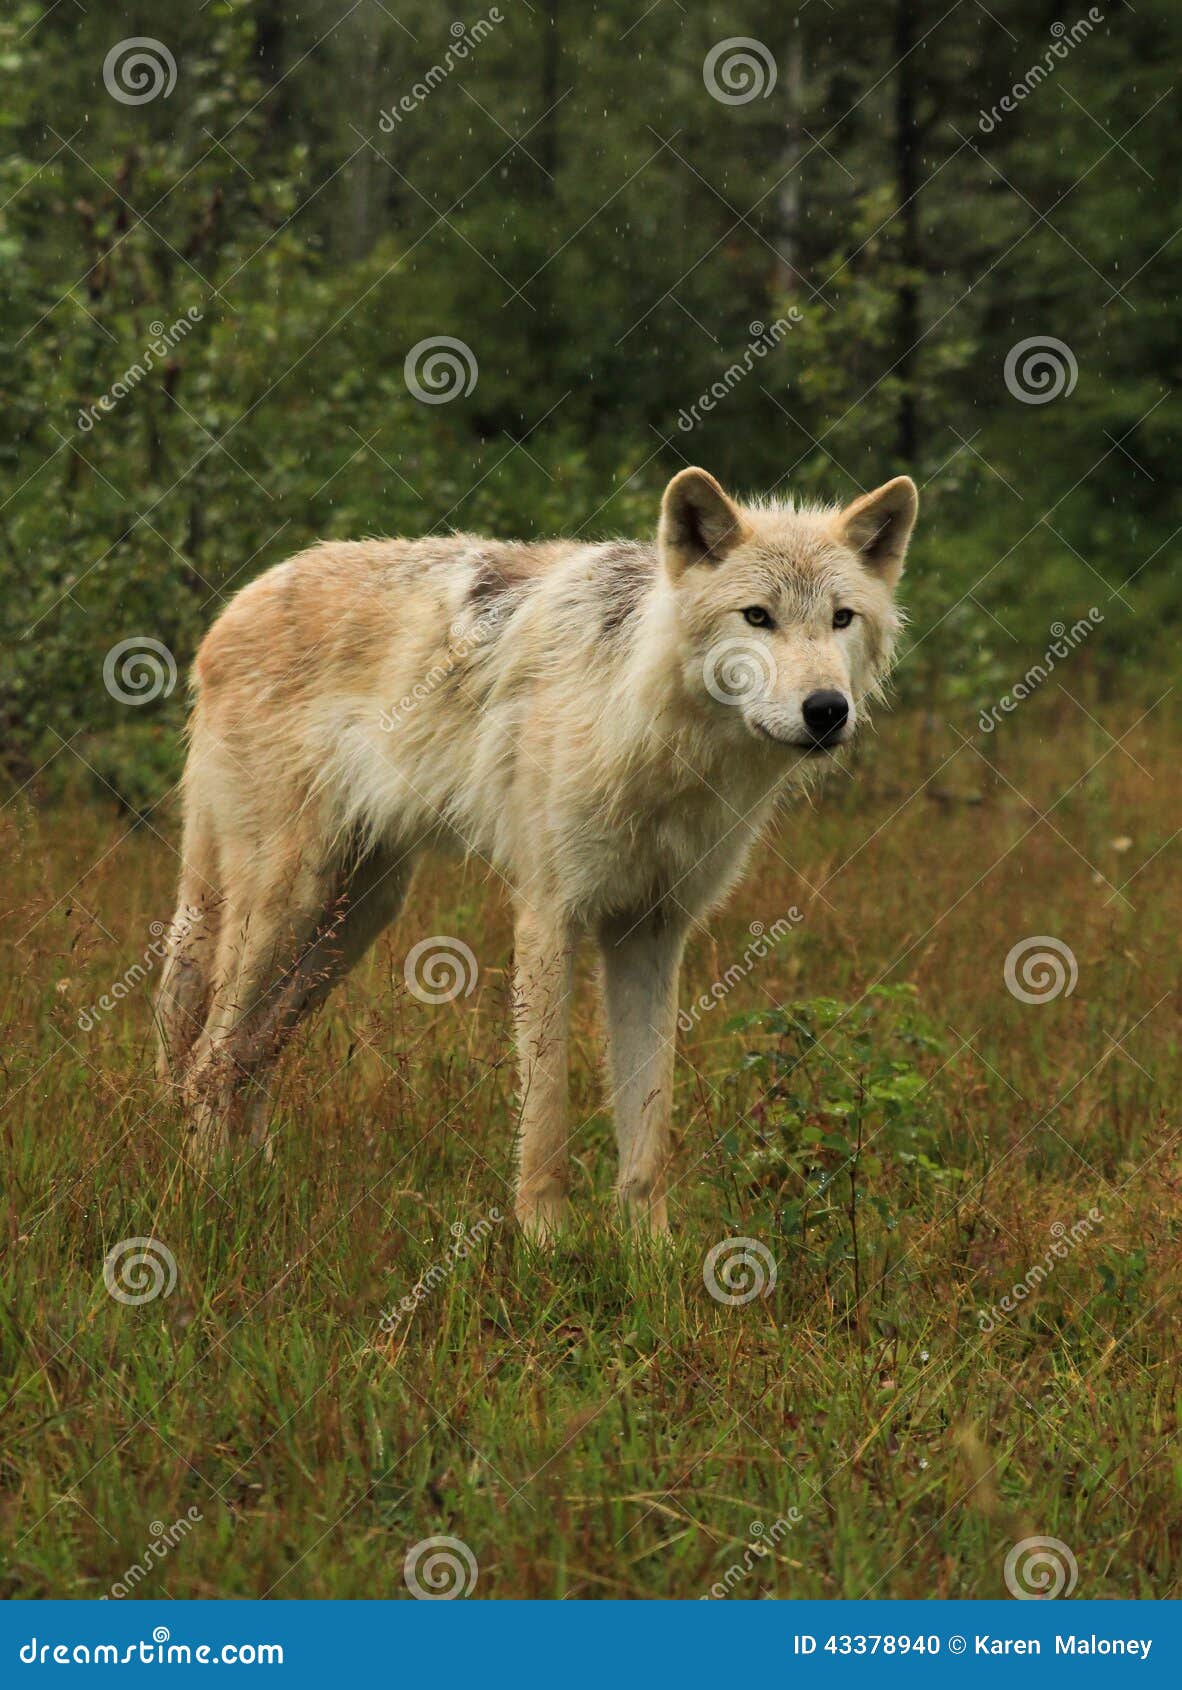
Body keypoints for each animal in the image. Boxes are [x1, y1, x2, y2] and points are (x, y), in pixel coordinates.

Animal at [157, 467, 917, 1238]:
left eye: (842, 618)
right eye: (757, 617)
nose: (827, 710)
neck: (651, 734)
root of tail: (230, 611)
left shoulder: (653, 931)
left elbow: (648, 1125)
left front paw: (650, 1252)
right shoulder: (550, 913)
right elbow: (547, 1113)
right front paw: (544, 1241)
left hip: (357, 915)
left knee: (250, 1057)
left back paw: (257, 1188)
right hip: (289, 901)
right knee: (205, 1060)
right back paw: (209, 1205)